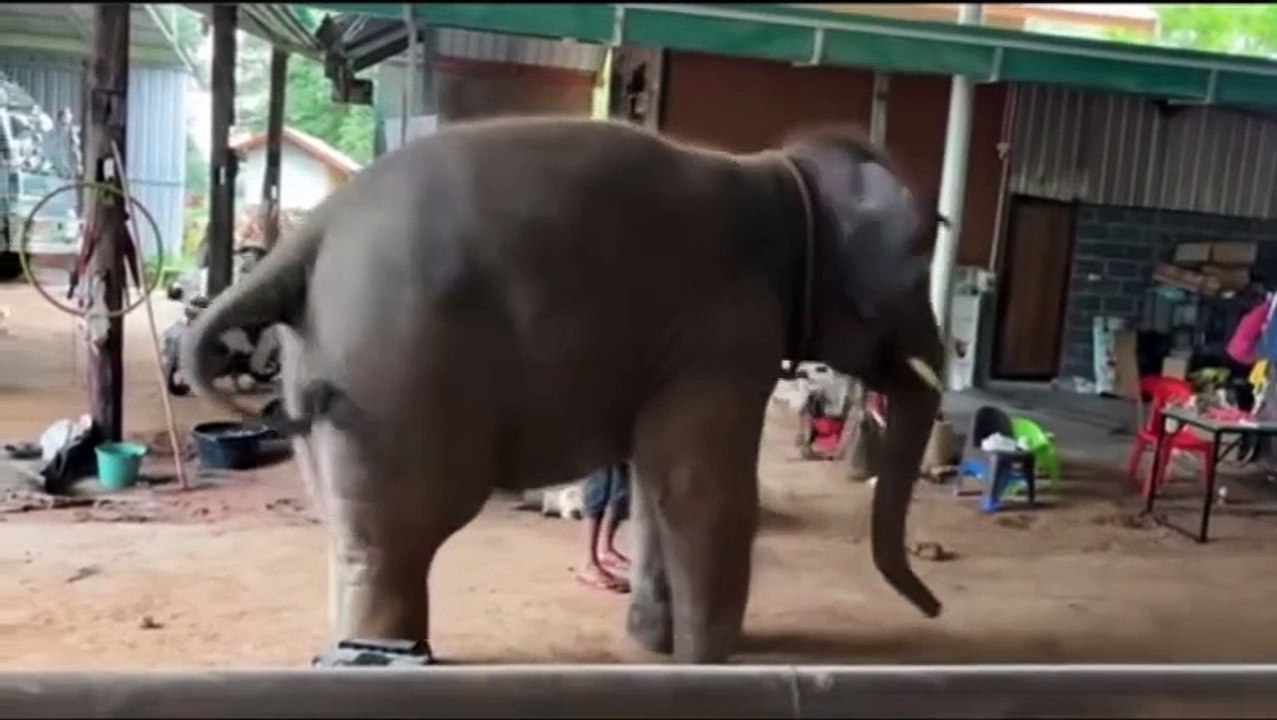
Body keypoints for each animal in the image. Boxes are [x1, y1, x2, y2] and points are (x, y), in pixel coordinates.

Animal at [182, 116, 945, 664]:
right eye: (916, 268)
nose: (934, 611)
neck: (779, 175)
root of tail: (304, 238)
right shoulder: (726, 337)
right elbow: (707, 494)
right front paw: (709, 662)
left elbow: (659, 489)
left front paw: (654, 646)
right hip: (392, 369)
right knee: (400, 536)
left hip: (325, 370)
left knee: (352, 535)